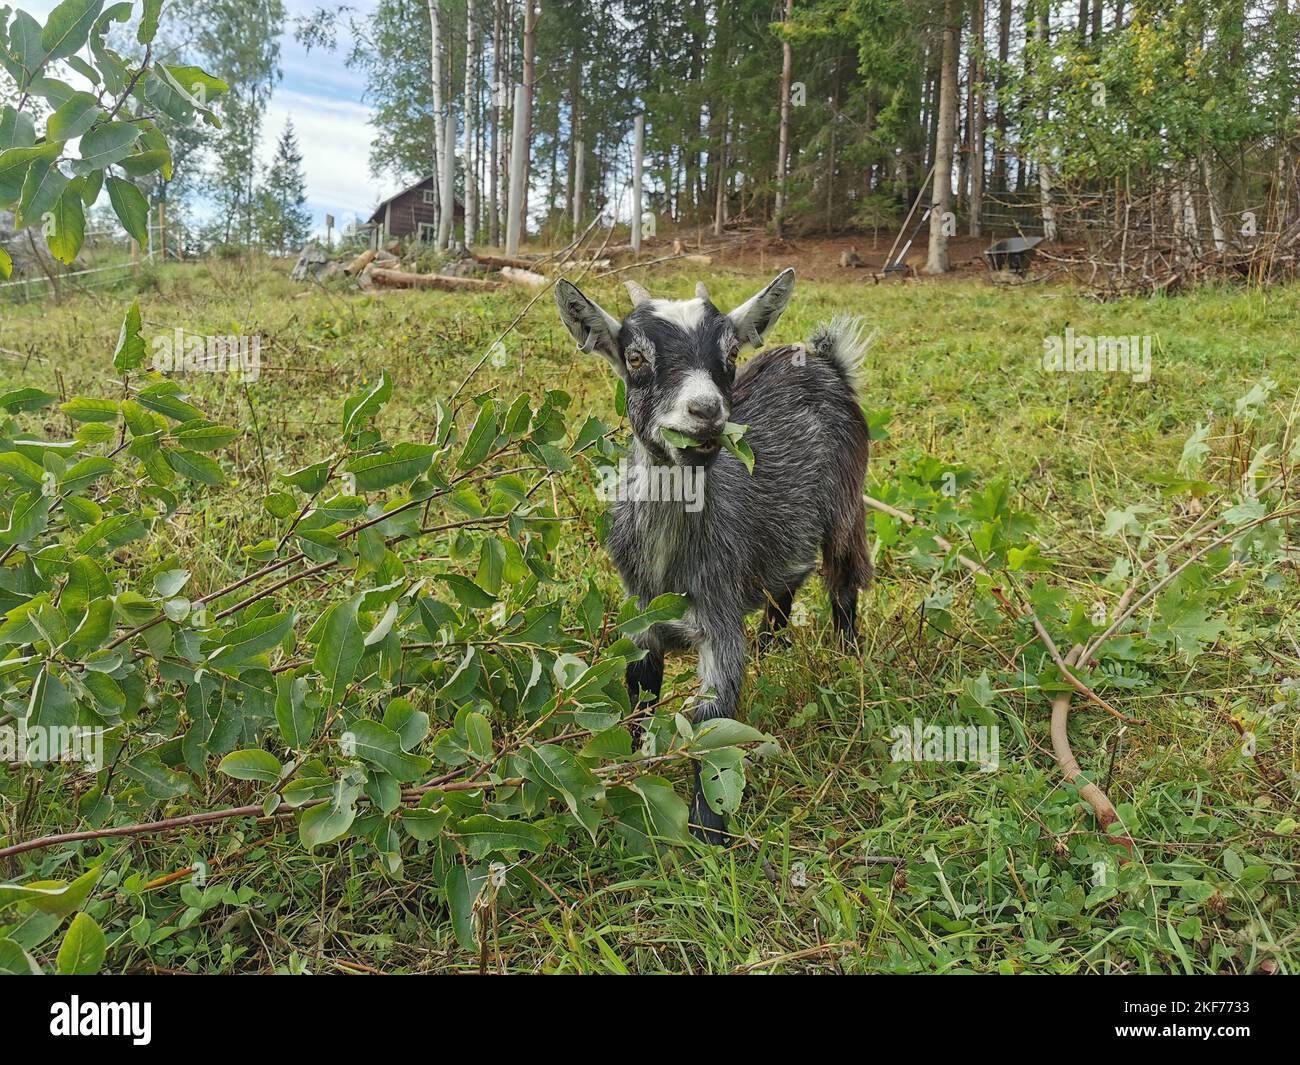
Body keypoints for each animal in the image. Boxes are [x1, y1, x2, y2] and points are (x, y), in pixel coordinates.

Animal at [554, 269, 872, 842]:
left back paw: (848, 658)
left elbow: (713, 722)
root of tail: (822, 361)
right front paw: (633, 773)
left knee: (842, 579)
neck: (670, 563)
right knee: (789, 575)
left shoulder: (719, 616)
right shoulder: (640, 617)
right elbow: (639, 696)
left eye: (730, 354)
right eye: (636, 357)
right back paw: (772, 643)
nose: (705, 412)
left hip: (846, 500)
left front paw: (707, 830)